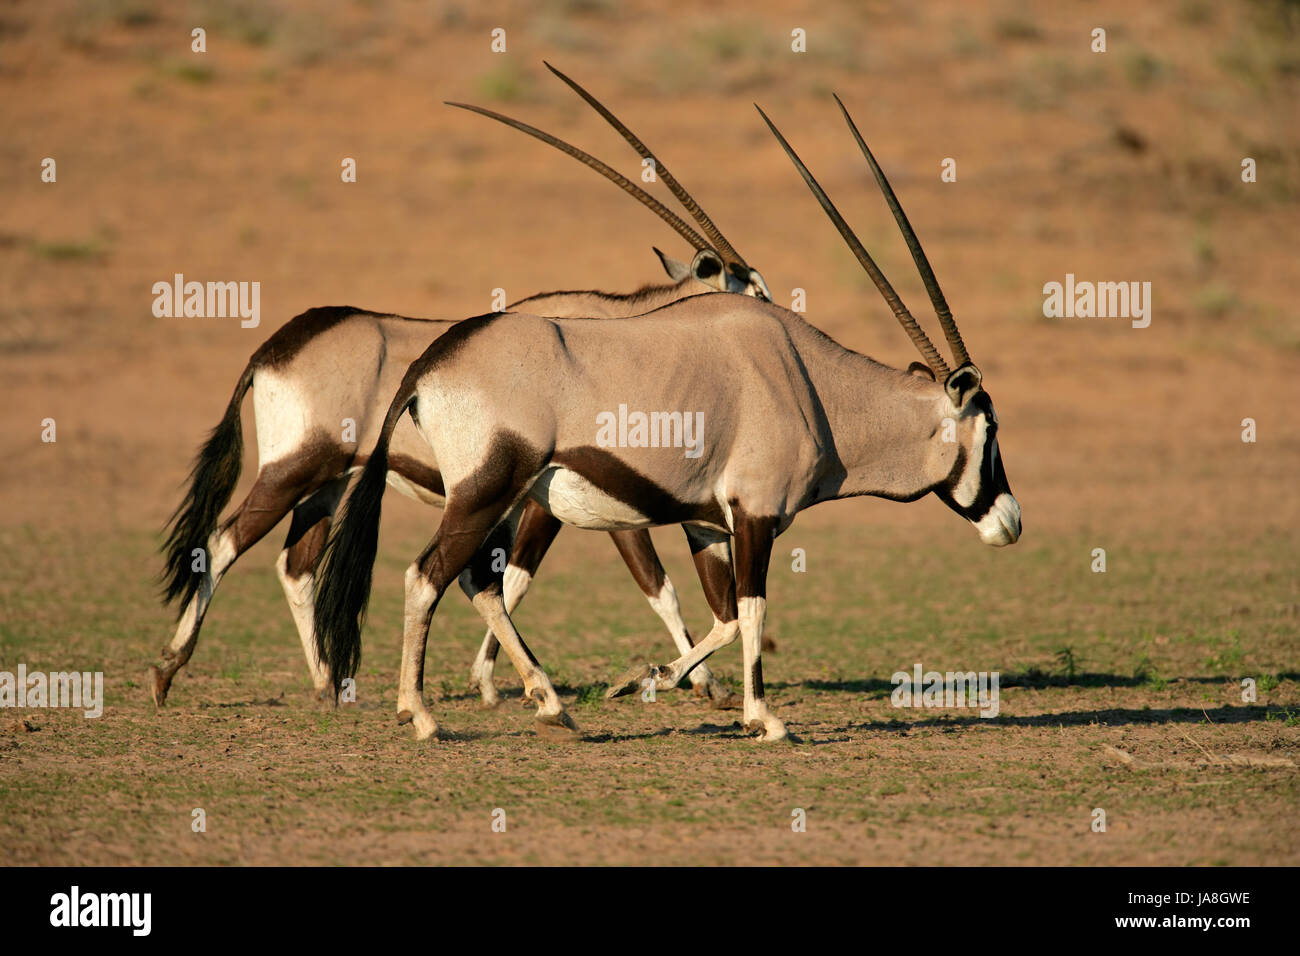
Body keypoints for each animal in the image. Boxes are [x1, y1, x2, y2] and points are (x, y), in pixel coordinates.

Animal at [153, 67, 769, 709]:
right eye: (753, 293)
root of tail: (270, 349)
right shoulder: (580, 497)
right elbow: (649, 585)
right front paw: (702, 684)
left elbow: (514, 580)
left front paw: (500, 684)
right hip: (295, 468)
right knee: (222, 541)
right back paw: (170, 670)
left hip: (328, 482)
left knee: (296, 565)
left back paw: (327, 683)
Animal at [312, 96, 1021, 743]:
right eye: (989, 432)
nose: (1011, 522)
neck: (811, 385)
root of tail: (432, 360)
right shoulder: (755, 516)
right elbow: (753, 610)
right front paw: (765, 719)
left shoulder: (710, 522)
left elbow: (725, 616)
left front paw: (647, 680)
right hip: (486, 491)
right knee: (427, 576)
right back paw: (422, 715)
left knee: (477, 582)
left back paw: (552, 705)